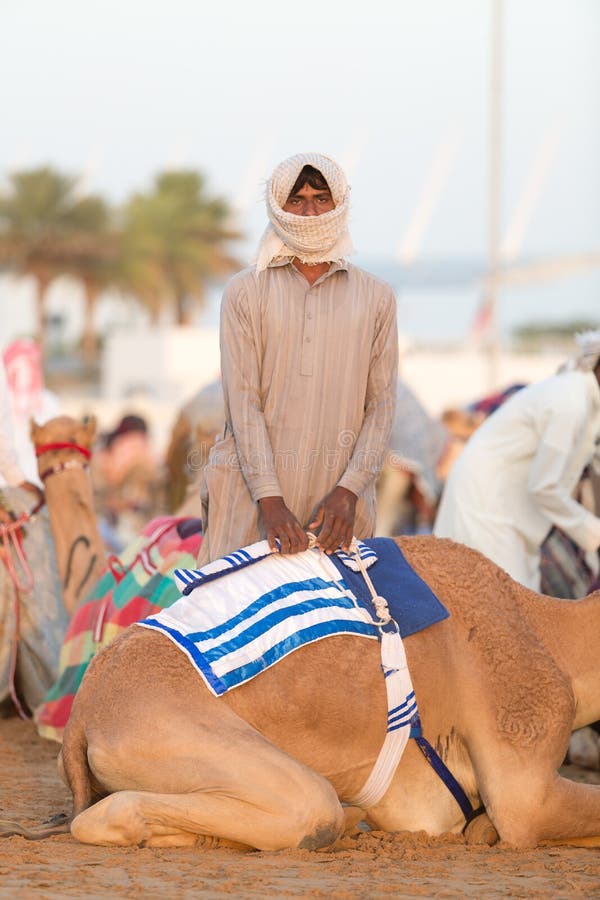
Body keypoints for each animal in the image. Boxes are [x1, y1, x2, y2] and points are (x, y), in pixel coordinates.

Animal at [12, 534, 600, 851]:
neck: (552, 632)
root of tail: (80, 717)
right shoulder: (523, 768)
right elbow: (525, 815)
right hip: (169, 729)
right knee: (310, 813)